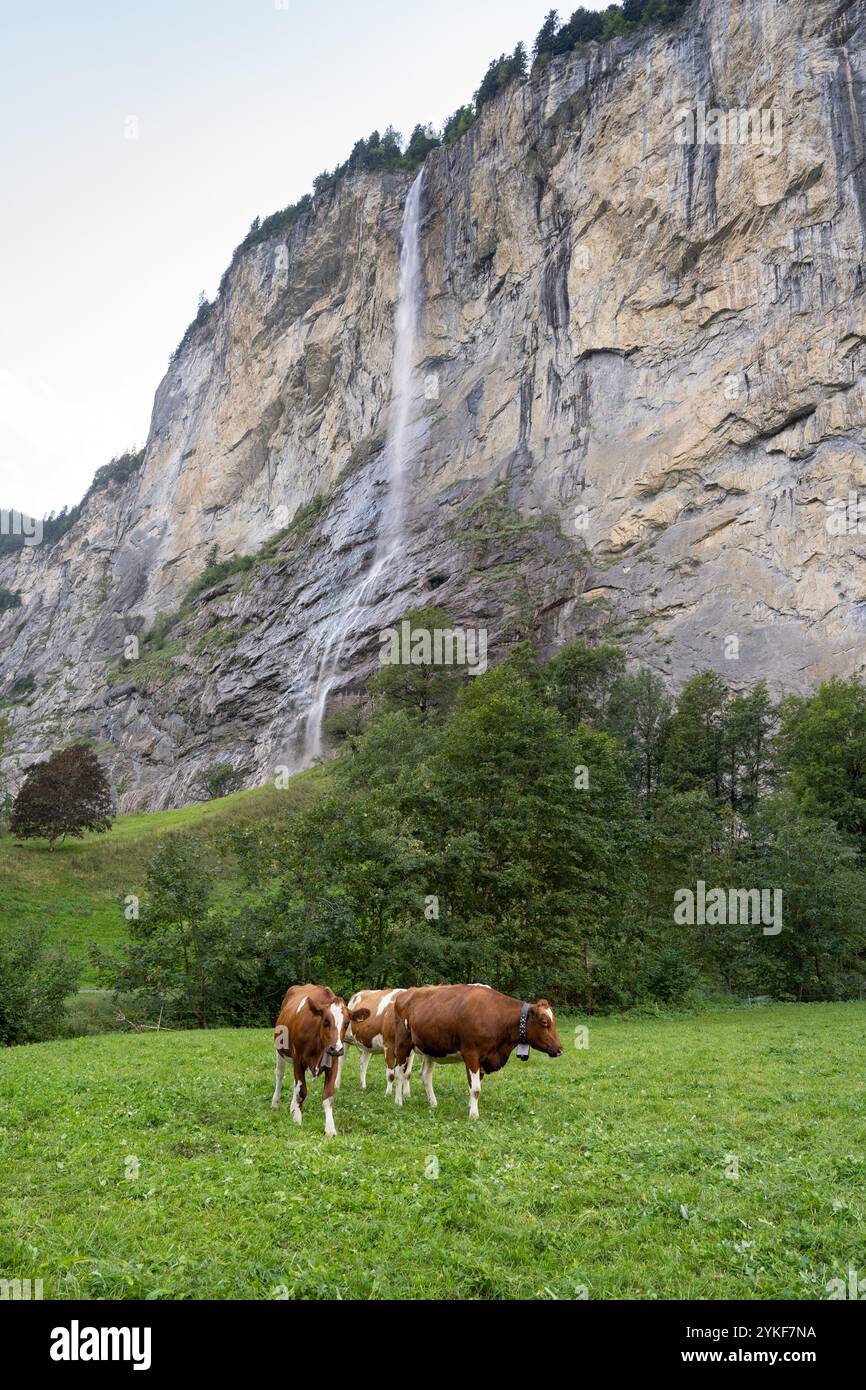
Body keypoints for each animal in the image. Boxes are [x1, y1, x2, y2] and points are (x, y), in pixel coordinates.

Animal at [271, 984, 367, 1136]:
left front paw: (330, 1128)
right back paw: (275, 1103)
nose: (336, 1048)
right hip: (280, 1050)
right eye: (326, 1020)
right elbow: (302, 1091)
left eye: (347, 1023)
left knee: (294, 1083)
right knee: (280, 1075)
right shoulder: (298, 1059)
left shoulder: (333, 1064)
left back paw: (292, 1107)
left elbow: (328, 1096)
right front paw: (298, 1119)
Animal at [393, 983, 563, 1120]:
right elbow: (475, 1089)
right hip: (402, 1045)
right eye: (544, 1022)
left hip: (430, 1050)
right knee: (399, 1074)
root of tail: (405, 993)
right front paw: (474, 1115)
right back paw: (398, 1102)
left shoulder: (484, 1058)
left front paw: (470, 1107)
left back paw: (433, 1103)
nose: (560, 1049)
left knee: (425, 1075)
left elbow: (474, 1086)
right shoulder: (471, 1054)